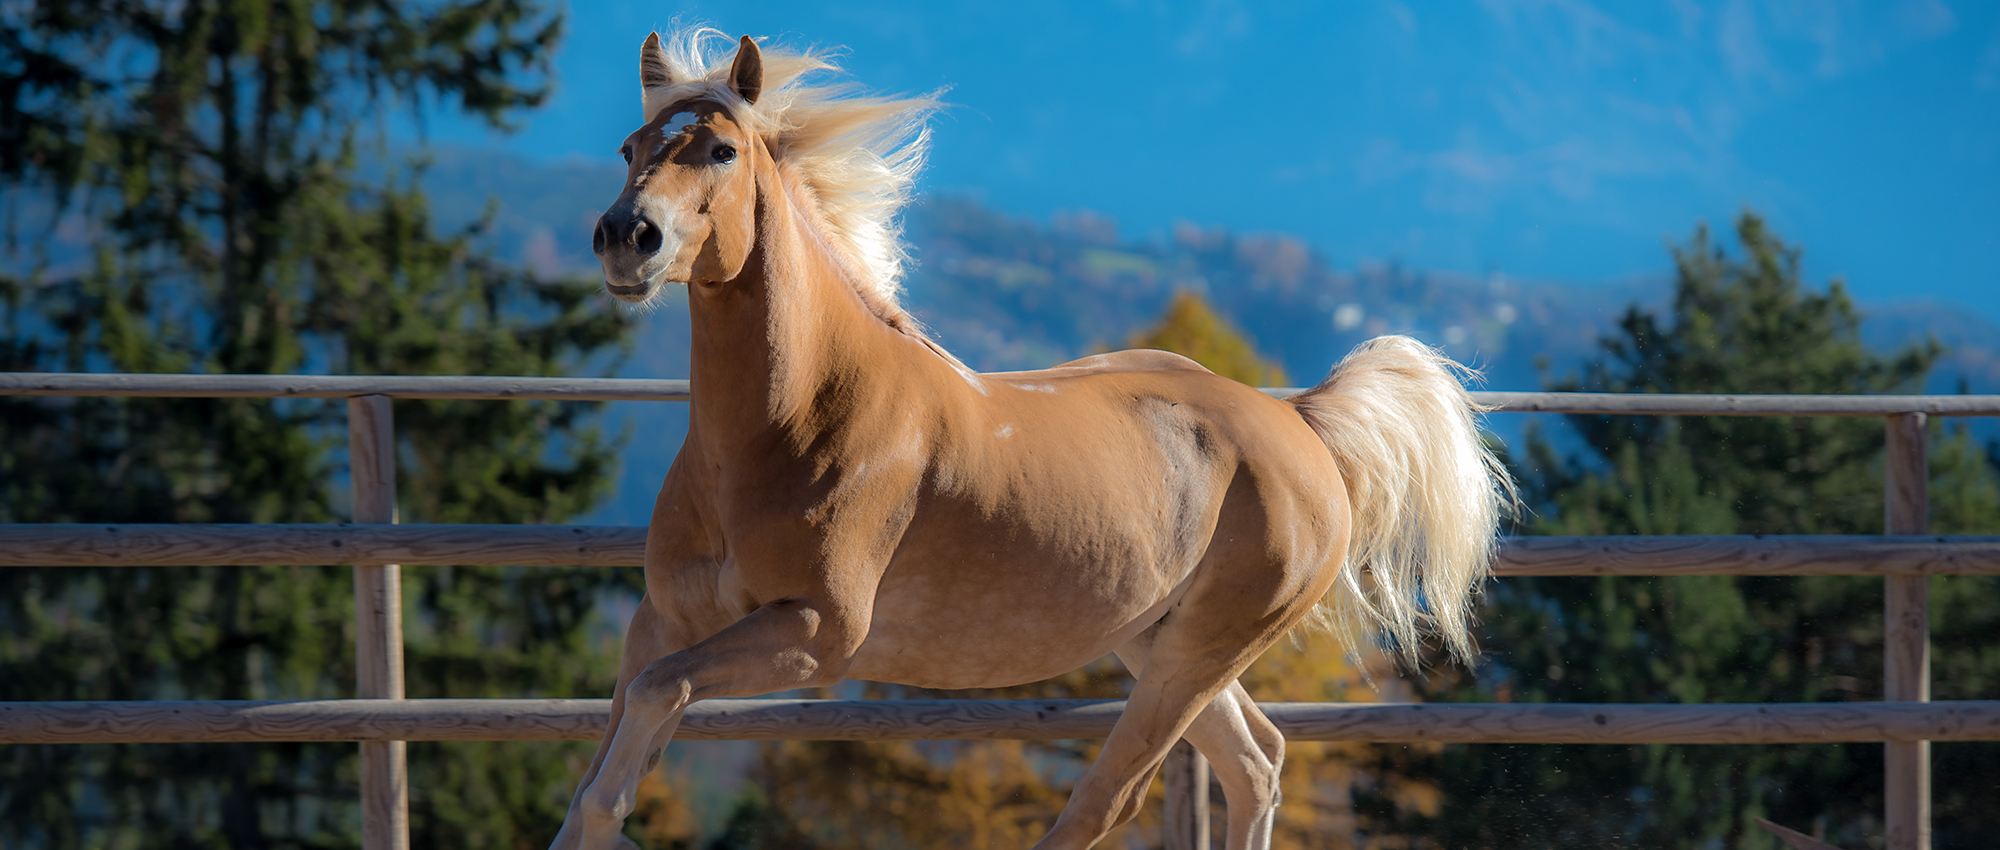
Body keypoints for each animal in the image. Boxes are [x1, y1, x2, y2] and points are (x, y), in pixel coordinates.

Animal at [552, 28, 1512, 850]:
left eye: (720, 150)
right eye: (630, 148)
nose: (626, 237)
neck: (794, 426)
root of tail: (1300, 422)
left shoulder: (819, 635)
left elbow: (647, 713)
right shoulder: (666, 618)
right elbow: (607, 752)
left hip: (1202, 652)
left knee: (1111, 800)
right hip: (1157, 639)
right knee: (1257, 763)